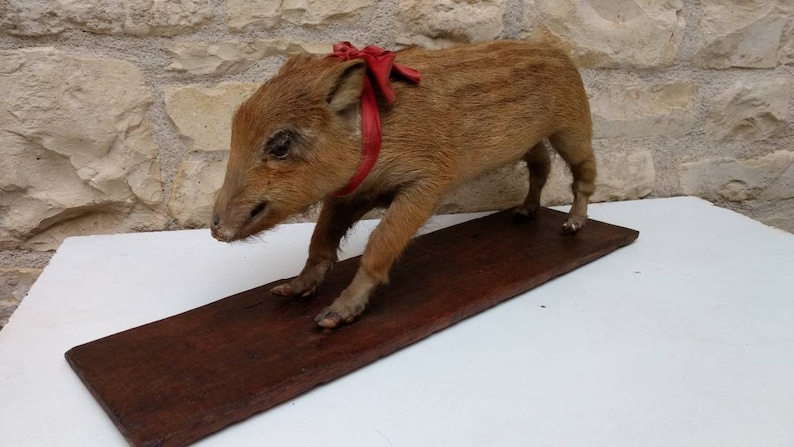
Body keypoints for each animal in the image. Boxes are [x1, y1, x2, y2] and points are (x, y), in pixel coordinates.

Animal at [211, 40, 596, 329]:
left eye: (280, 145)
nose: (215, 229)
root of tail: (560, 52)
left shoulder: (426, 184)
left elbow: (381, 243)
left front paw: (329, 319)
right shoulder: (351, 194)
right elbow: (320, 241)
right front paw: (284, 291)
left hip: (574, 128)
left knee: (584, 174)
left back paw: (571, 226)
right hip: (530, 142)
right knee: (541, 165)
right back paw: (523, 212)